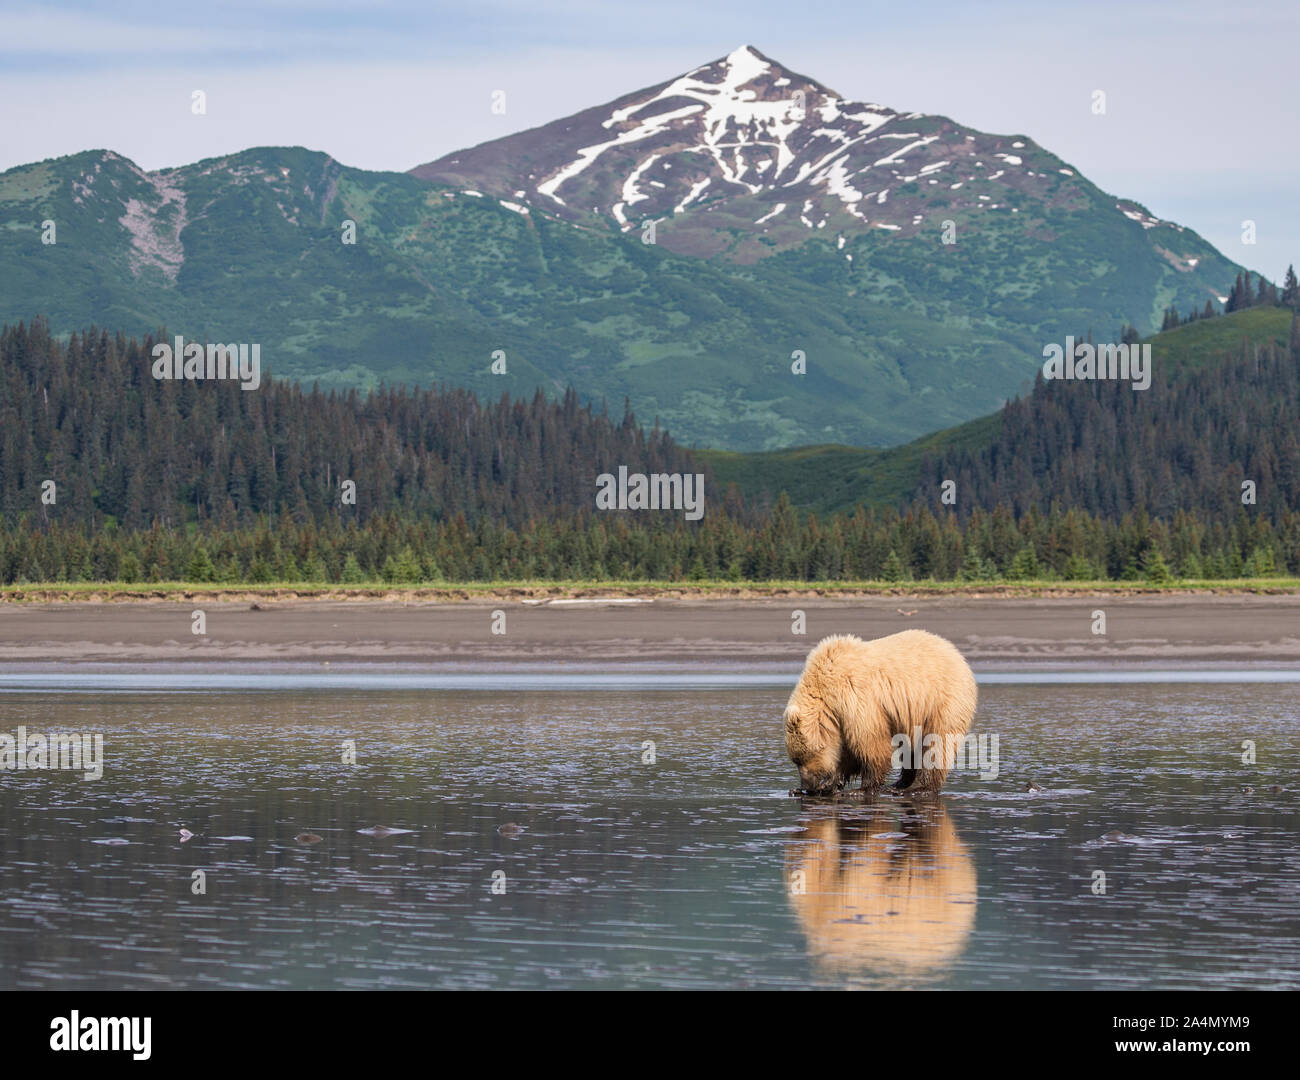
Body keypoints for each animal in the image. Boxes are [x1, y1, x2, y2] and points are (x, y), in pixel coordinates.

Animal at [784, 629, 977, 795]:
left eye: (800, 759)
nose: (806, 785)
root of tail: (958, 655)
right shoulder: (842, 718)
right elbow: (847, 752)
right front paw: (827, 784)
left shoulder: (857, 699)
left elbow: (871, 744)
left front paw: (860, 789)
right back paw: (900, 783)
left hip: (941, 703)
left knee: (936, 744)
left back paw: (918, 787)